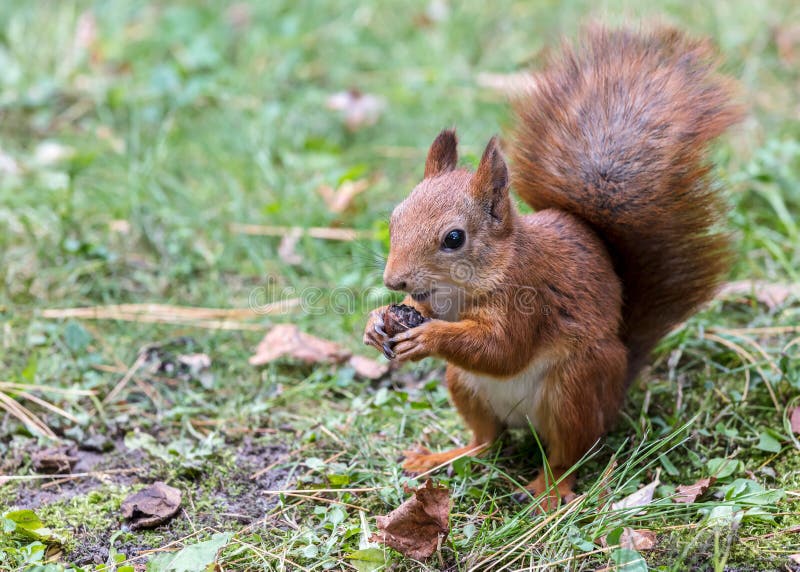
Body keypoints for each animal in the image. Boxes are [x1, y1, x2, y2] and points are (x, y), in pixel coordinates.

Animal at [363, 26, 742, 507]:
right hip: (464, 385)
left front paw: (429, 337)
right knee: (488, 440)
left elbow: (504, 350)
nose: (394, 281)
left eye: (454, 238)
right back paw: (443, 456)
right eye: (395, 217)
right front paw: (377, 322)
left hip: (575, 389)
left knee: (569, 455)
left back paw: (549, 490)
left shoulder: (530, 295)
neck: (471, 283)